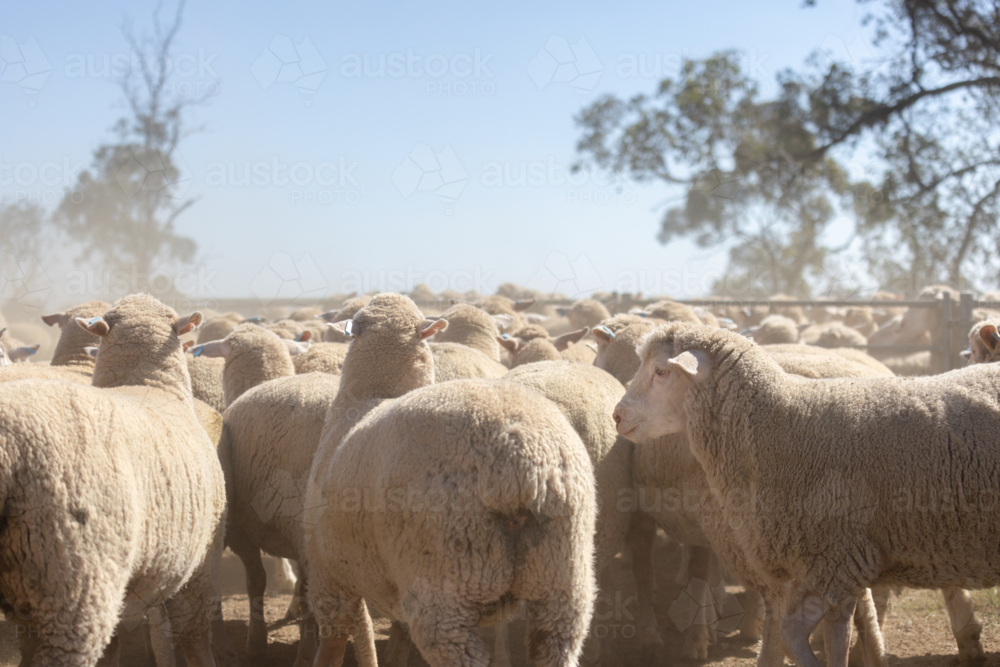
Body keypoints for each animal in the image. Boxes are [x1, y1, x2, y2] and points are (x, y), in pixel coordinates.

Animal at [302, 292, 598, 667]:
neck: (373, 395)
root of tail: (522, 458)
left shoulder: (327, 575)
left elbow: (333, 644)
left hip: (448, 582)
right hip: (563, 579)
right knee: (556, 643)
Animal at [612, 322, 1000, 667]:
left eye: (661, 371)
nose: (617, 415)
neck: (781, 425)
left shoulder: (834, 560)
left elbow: (799, 636)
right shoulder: (837, 566)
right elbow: (823, 636)